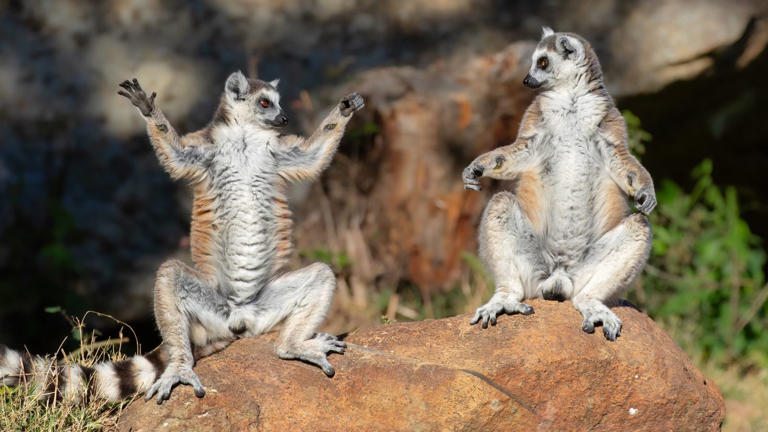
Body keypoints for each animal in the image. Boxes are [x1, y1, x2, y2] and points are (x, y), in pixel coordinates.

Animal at [0, 71, 364, 404]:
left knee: (321, 276)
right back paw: (180, 366)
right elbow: (174, 153)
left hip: (264, 310)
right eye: (265, 103)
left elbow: (313, 157)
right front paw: (148, 109)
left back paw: (292, 345)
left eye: (278, 104)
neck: (245, 136)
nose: (284, 119)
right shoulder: (204, 150)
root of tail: (240, 320)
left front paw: (346, 109)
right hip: (213, 309)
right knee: (169, 275)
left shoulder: (278, 153)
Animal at [462, 28, 656, 341]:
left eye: (542, 62)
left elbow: (622, 161)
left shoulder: (609, 120)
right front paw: (478, 167)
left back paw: (592, 302)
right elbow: (516, 154)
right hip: (534, 271)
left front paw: (645, 191)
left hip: (582, 274)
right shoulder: (537, 118)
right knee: (501, 203)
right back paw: (505, 298)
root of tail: (558, 277)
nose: (526, 80)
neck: (571, 97)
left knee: (638, 225)